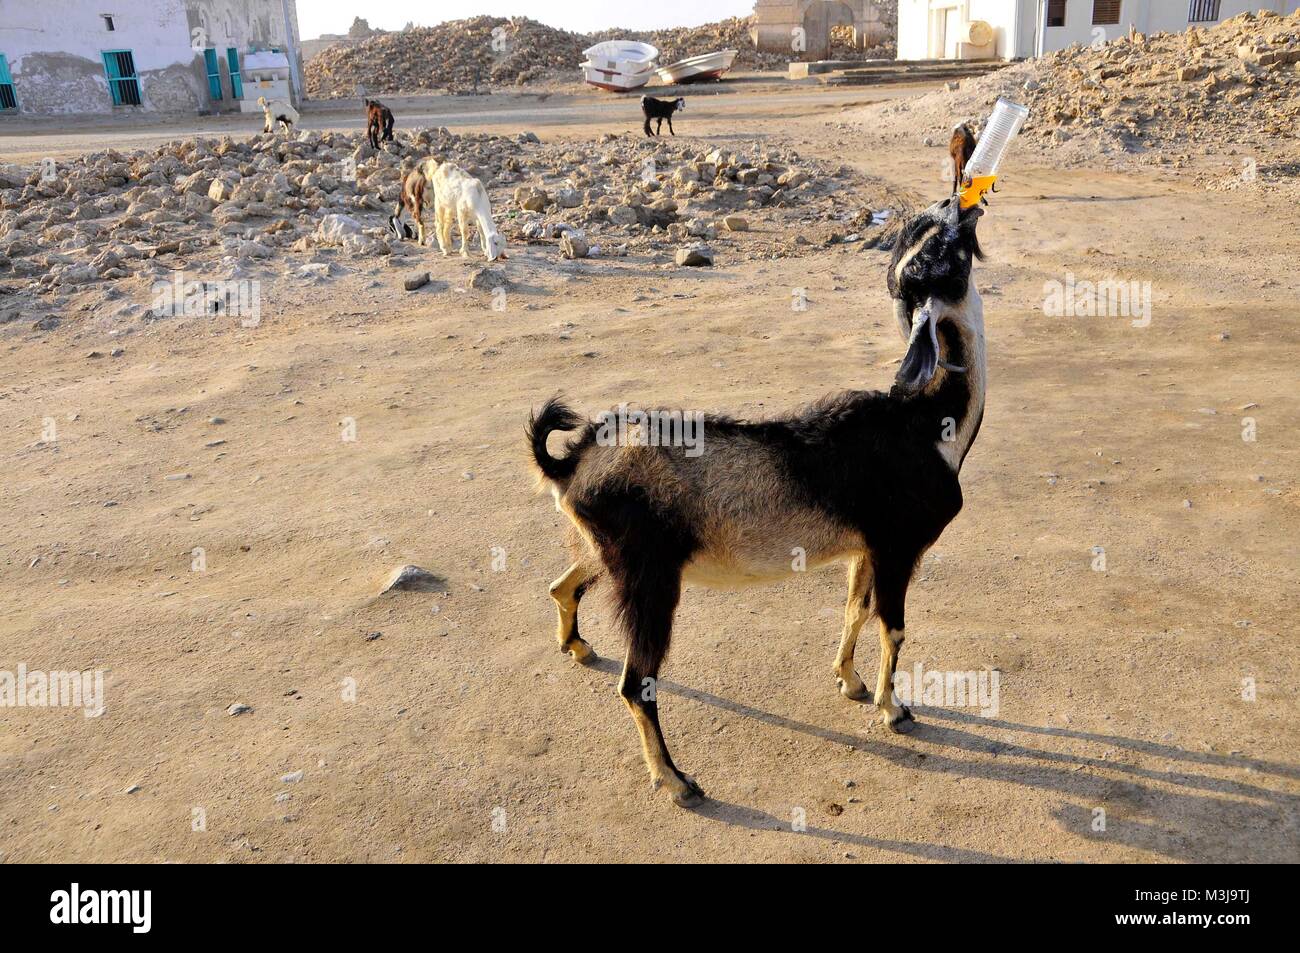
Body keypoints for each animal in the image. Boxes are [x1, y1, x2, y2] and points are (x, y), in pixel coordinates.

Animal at [526, 195, 987, 806]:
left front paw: (849, 680)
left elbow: (855, 609)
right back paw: (676, 780)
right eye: (932, 251)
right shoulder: (897, 546)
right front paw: (894, 710)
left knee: (564, 584)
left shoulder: (864, 547)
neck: (932, 425)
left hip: (609, 554)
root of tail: (572, 463)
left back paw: (578, 648)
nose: (959, 201)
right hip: (650, 576)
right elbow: (892, 626)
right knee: (635, 682)